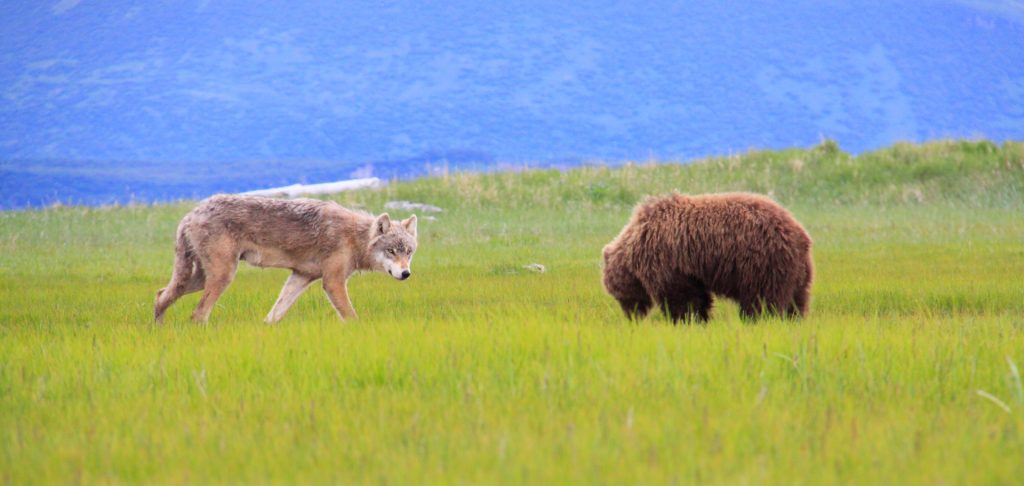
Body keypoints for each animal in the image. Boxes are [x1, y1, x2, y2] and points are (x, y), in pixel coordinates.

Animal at [153, 194, 418, 323]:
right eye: (392, 251)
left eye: (408, 252)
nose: (406, 274)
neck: (355, 236)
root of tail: (190, 214)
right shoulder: (332, 282)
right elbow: (352, 317)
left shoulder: (300, 277)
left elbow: (274, 315)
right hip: (222, 276)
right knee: (197, 314)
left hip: (199, 279)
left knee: (160, 295)